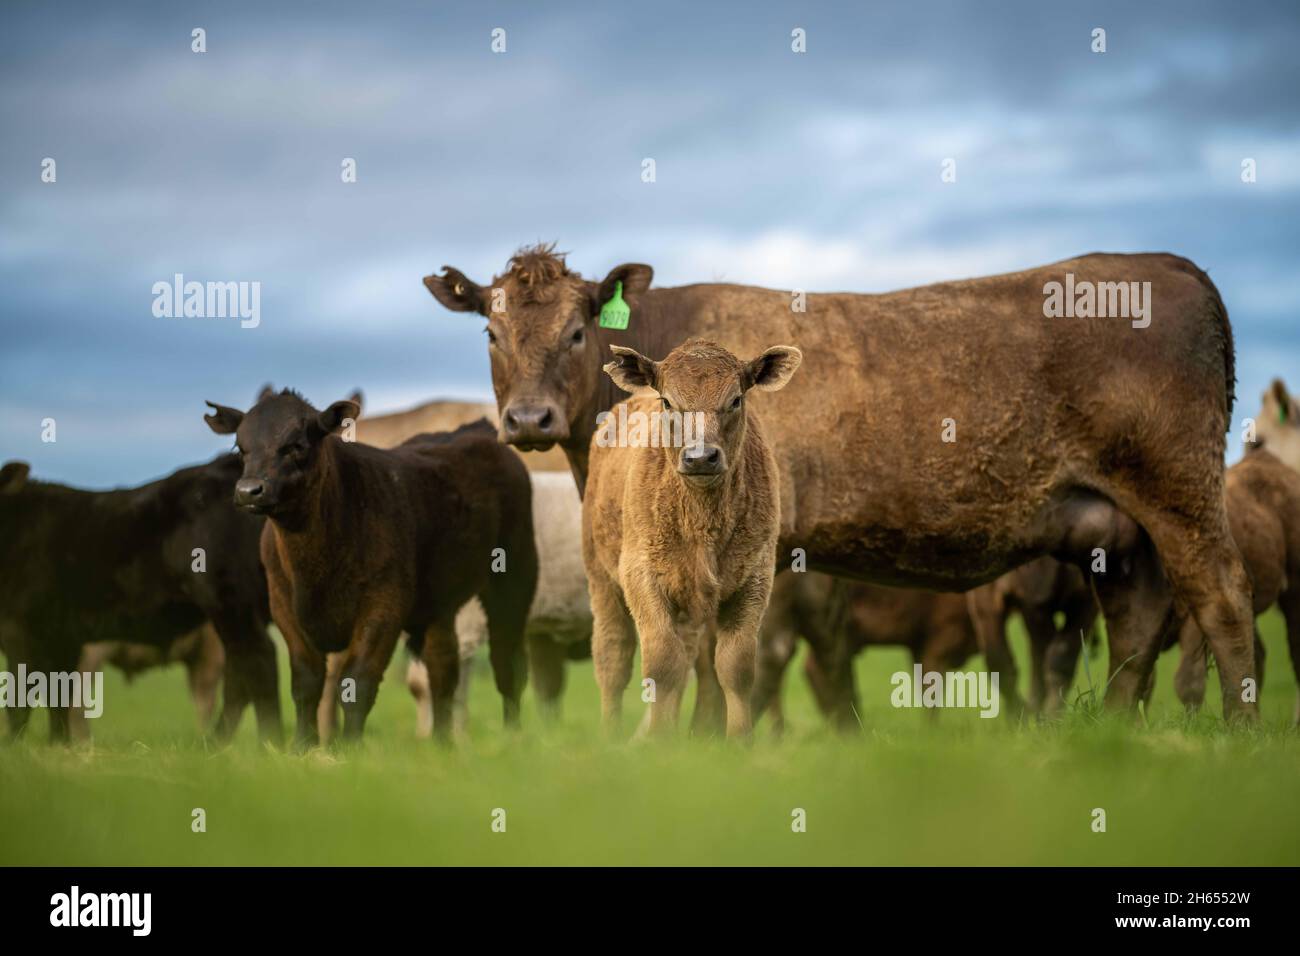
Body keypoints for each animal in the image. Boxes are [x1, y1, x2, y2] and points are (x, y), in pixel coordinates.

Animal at [0, 458, 279, 743]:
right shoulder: (62, 638)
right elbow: (58, 698)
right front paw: (59, 744)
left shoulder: (18, 629)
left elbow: (19, 699)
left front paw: (14, 746)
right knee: (238, 673)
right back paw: (215, 743)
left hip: (228, 599)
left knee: (258, 659)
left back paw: (267, 741)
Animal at [203, 391, 537, 745]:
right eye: (240, 447)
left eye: (296, 445)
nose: (249, 491)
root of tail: (473, 429)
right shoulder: (283, 605)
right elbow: (307, 681)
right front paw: (302, 747)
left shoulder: (383, 605)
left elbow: (357, 681)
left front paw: (350, 747)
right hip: (440, 604)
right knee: (442, 666)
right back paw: (442, 743)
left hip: (515, 576)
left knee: (508, 662)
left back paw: (512, 736)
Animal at [583, 338, 802, 736]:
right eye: (668, 401)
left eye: (735, 399)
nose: (701, 457)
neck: (702, 521)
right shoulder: (640, 576)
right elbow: (660, 663)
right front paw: (657, 739)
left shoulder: (754, 580)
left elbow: (735, 666)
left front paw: (739, 739)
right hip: (601, 578)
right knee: (613, 657)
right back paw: (612, 733)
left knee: (685, 658)